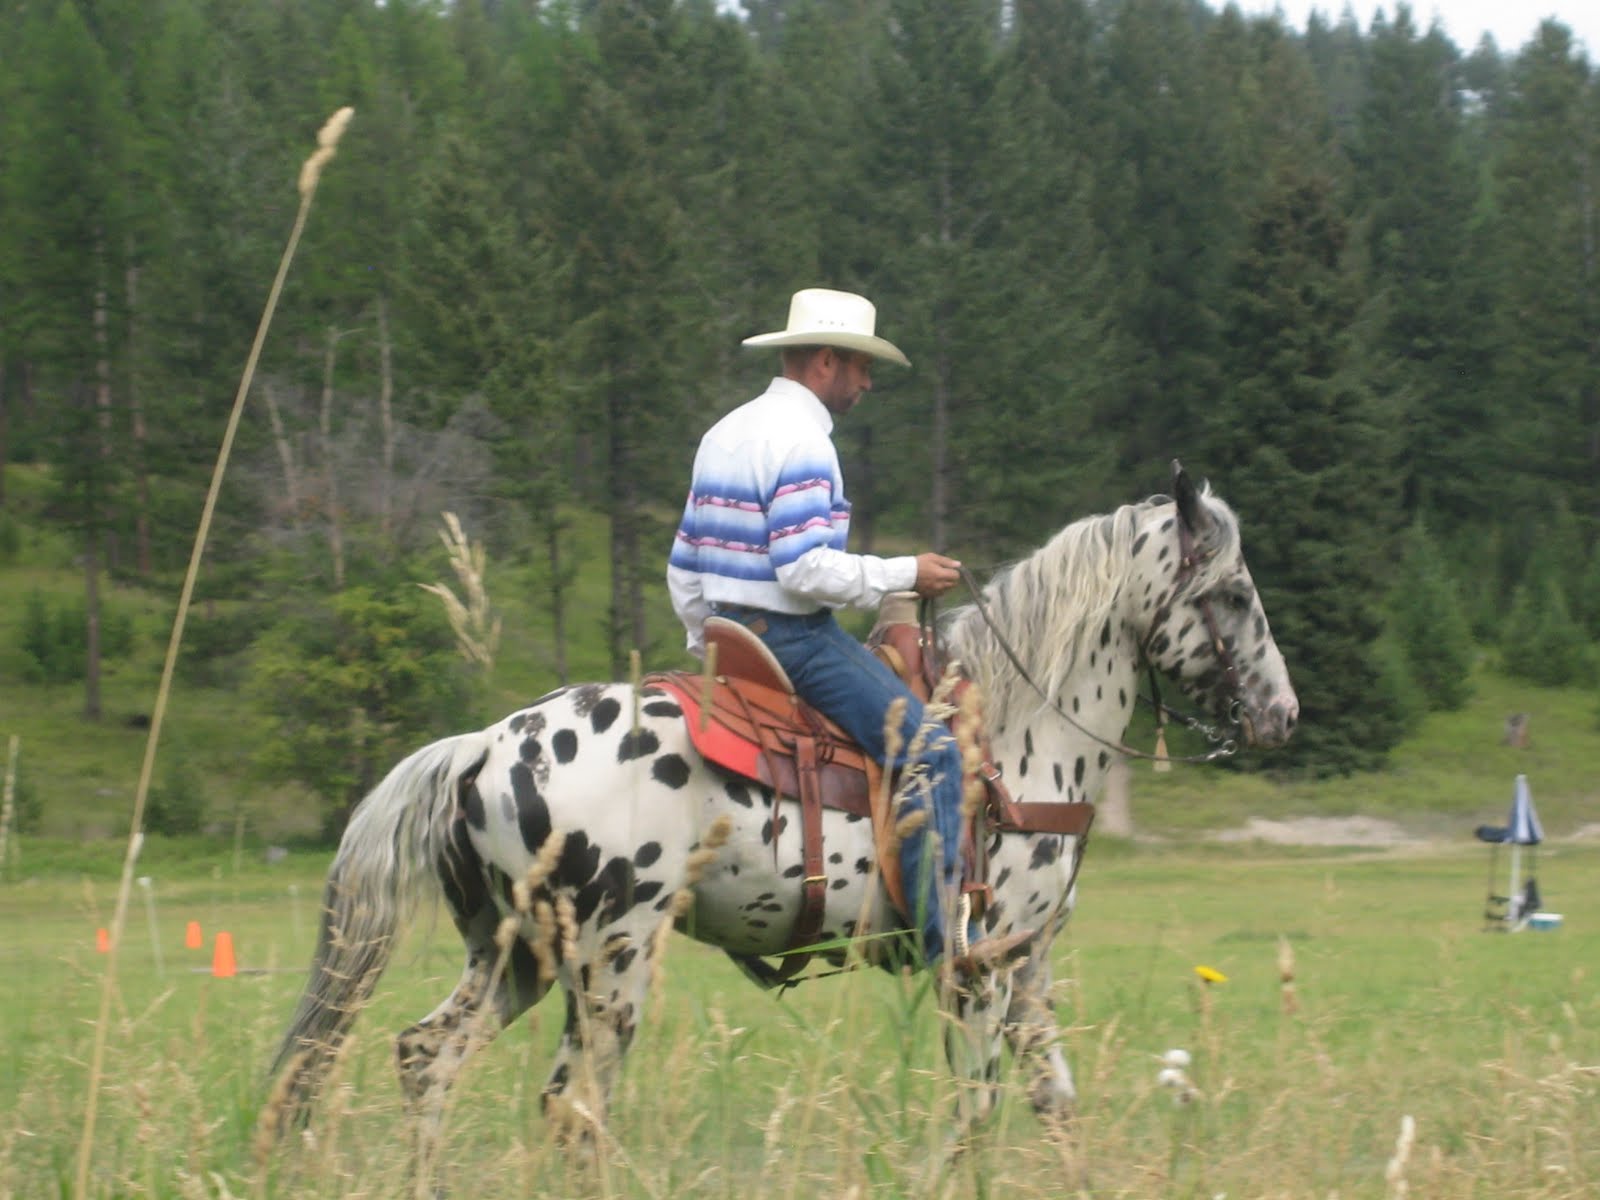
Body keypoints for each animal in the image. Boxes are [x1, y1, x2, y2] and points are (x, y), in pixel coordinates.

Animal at [262, 465, 1297, 1182]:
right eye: (1234, 594)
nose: (1283, 714)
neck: (1012, 733)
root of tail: (481, 747)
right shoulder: (980, 967)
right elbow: (975, 1113)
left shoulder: (1027, 966)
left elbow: (1054, 1105)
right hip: (610, 962)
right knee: (571, 1106)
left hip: (514, 953)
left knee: (426, 1059)